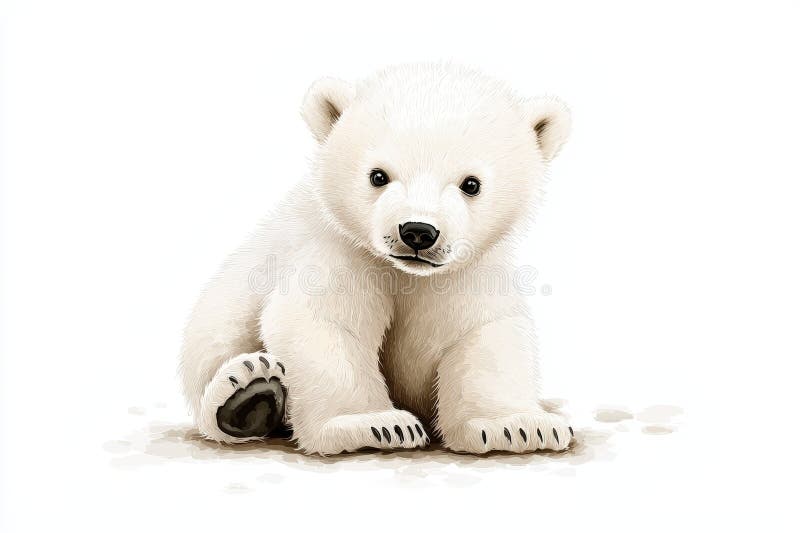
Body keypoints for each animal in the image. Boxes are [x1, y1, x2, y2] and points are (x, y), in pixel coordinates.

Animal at [179, 63, 573, 455]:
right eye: (378, 176)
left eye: (471, 184)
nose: (418, 232)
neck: (406, 271)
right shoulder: (343, 253)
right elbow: (326, 320)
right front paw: (377, 424)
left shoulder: (467, 273)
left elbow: (481, 333)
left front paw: (517, 426)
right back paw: (249, 395)